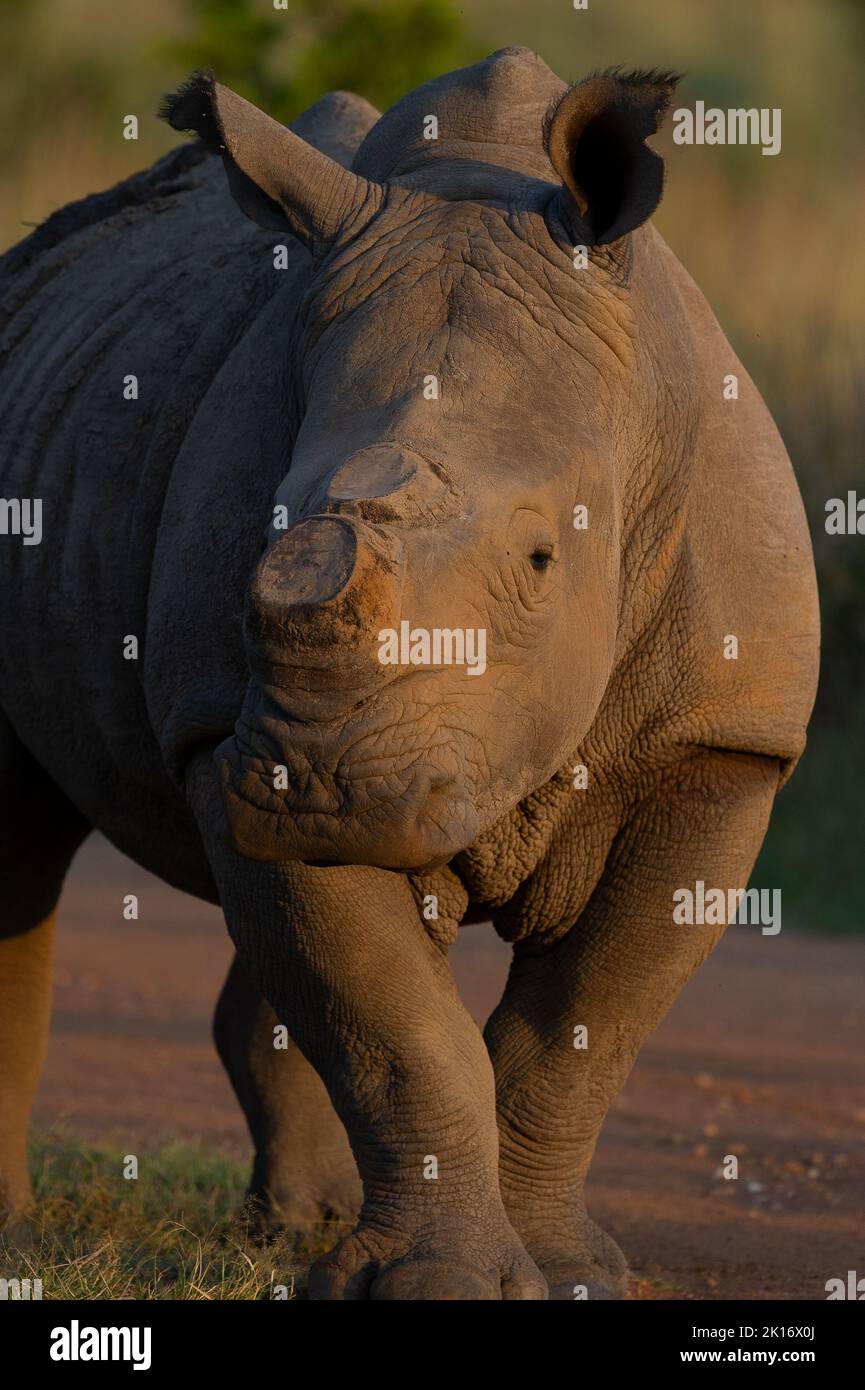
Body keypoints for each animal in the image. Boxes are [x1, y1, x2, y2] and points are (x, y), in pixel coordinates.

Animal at [0, 47, 818, 1299]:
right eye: (263, 538)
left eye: (540, 559)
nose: (313, 781)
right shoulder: (221, 726)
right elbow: (396, 1032)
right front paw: (436, 1286)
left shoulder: (721, 738)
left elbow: (582, 1025)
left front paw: (567, 1272)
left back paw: (292, 1229)